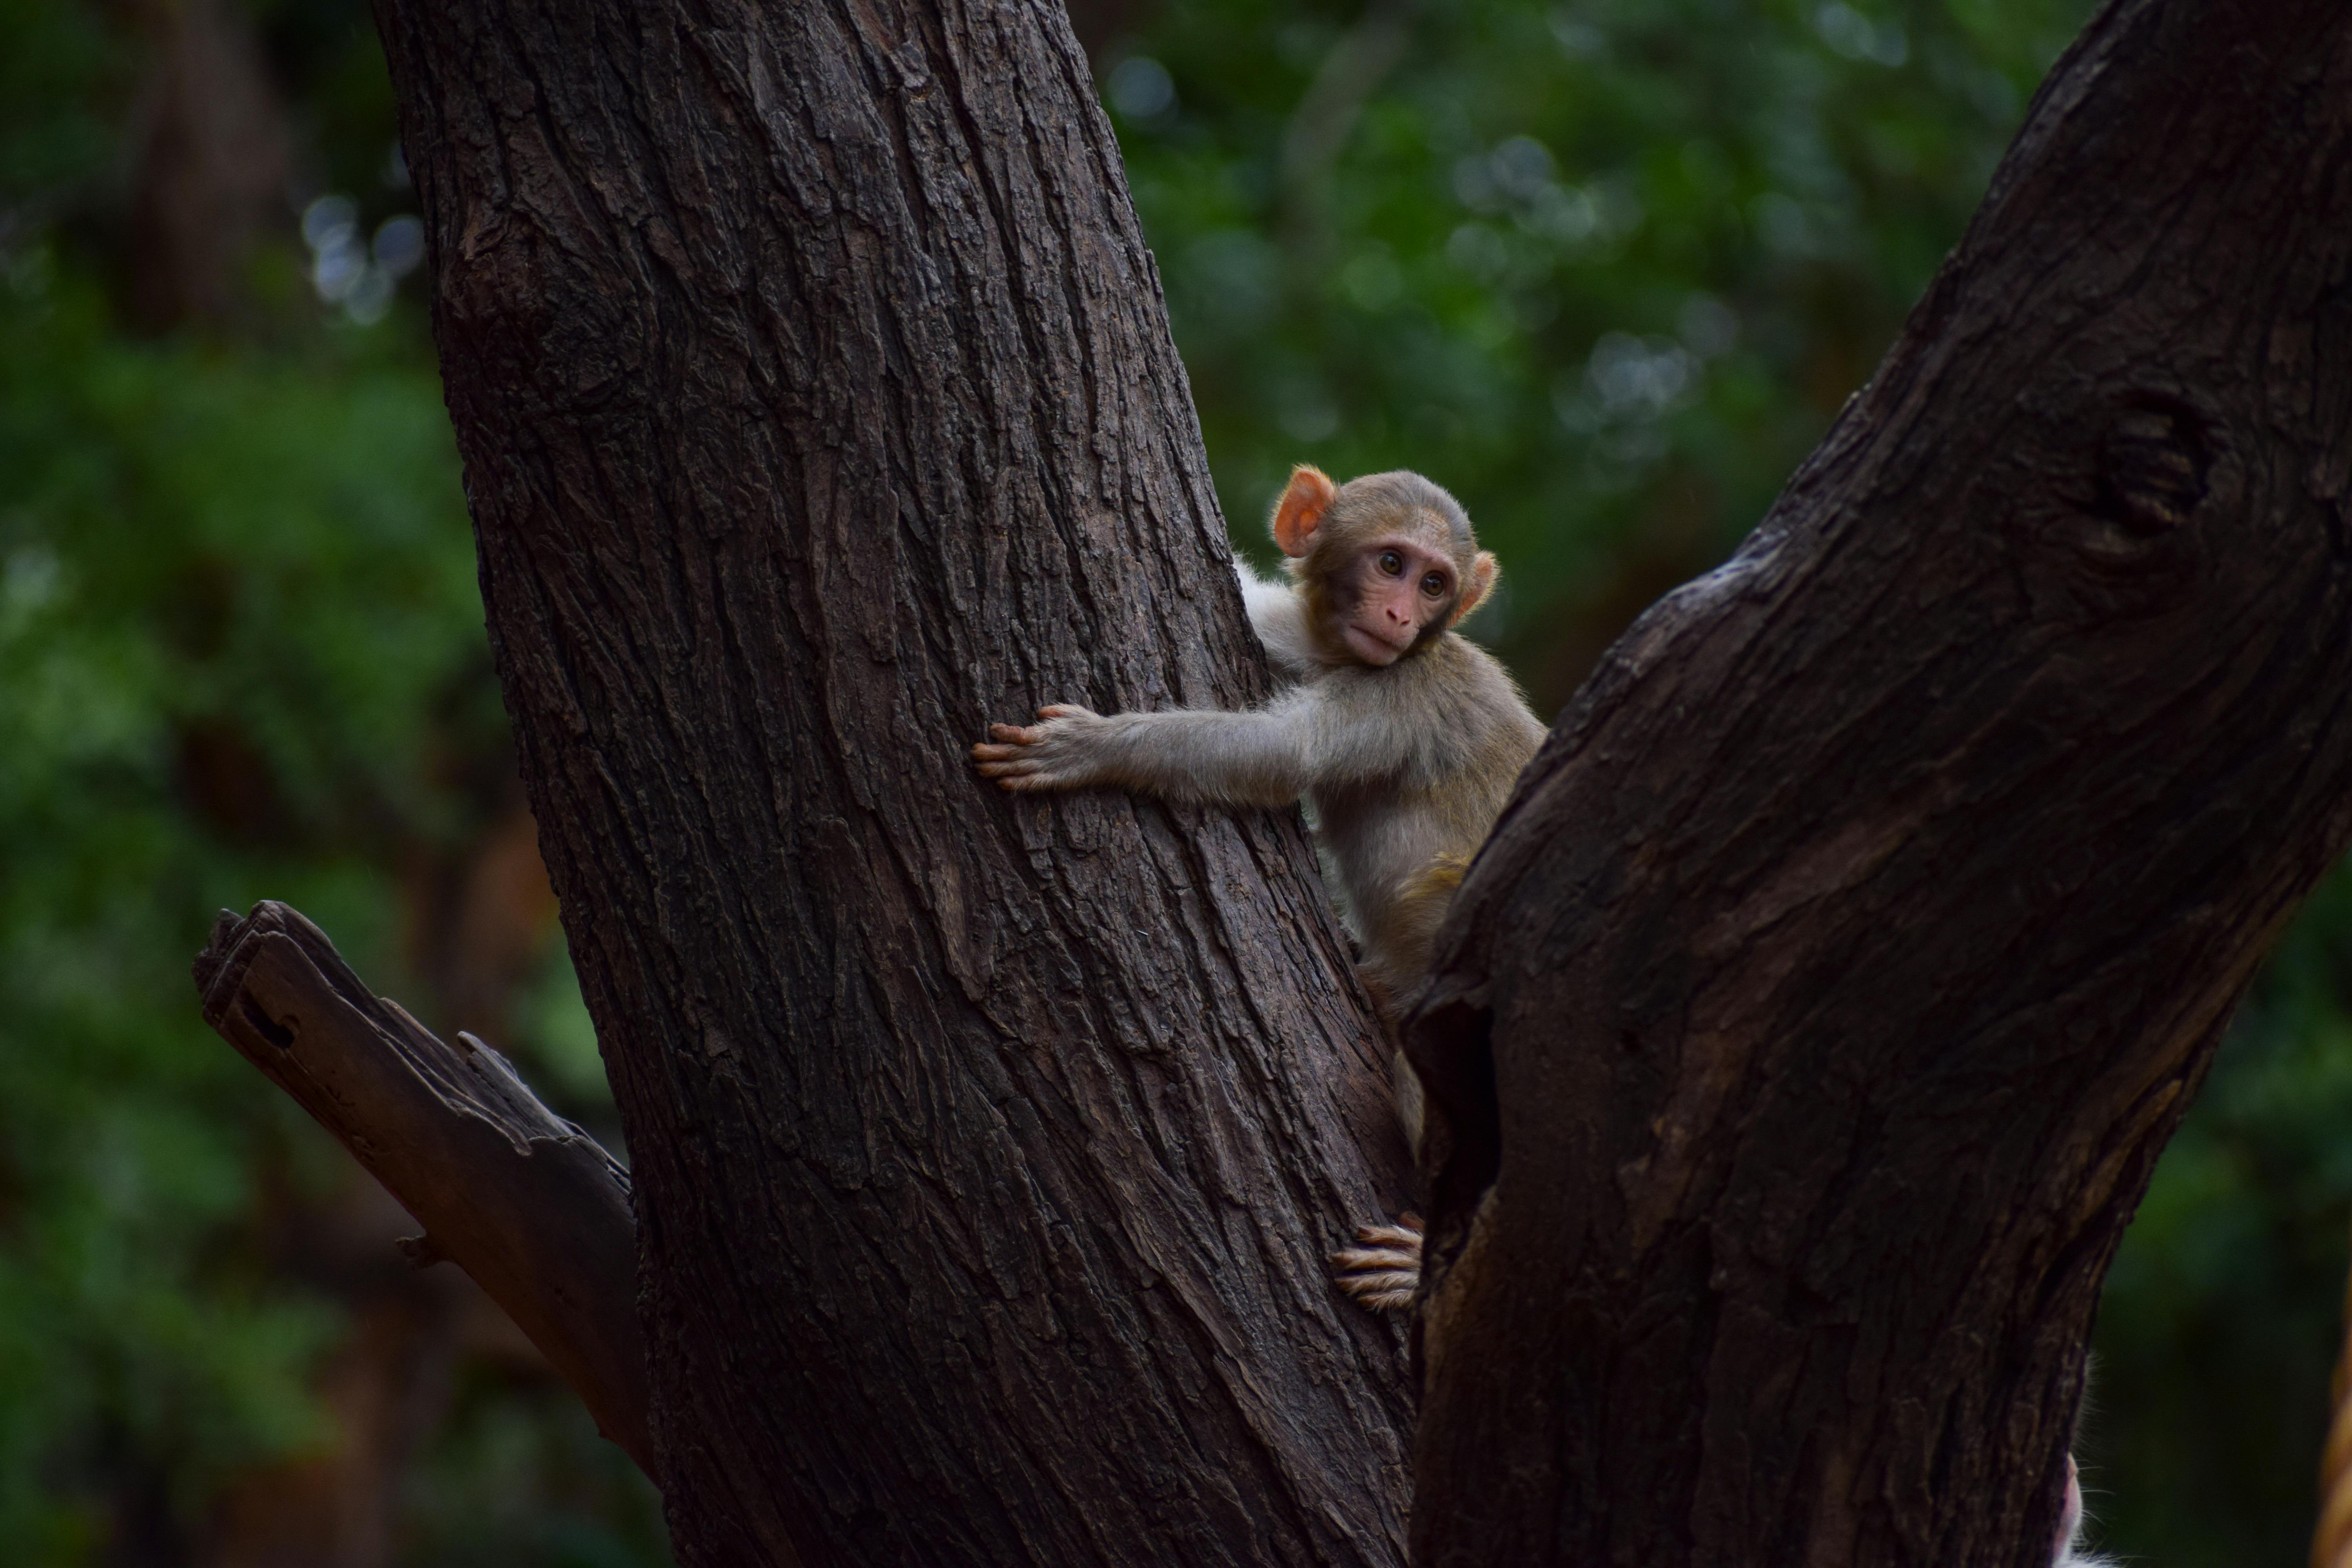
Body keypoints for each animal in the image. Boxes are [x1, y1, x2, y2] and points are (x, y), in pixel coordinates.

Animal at [973, 465, 1546, 1307]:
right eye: (1391, 564)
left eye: (1435, 582)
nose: (1401, 613)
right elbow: (1259, 611)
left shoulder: (1402, 694)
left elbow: (1280, 753)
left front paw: (1094, 747)